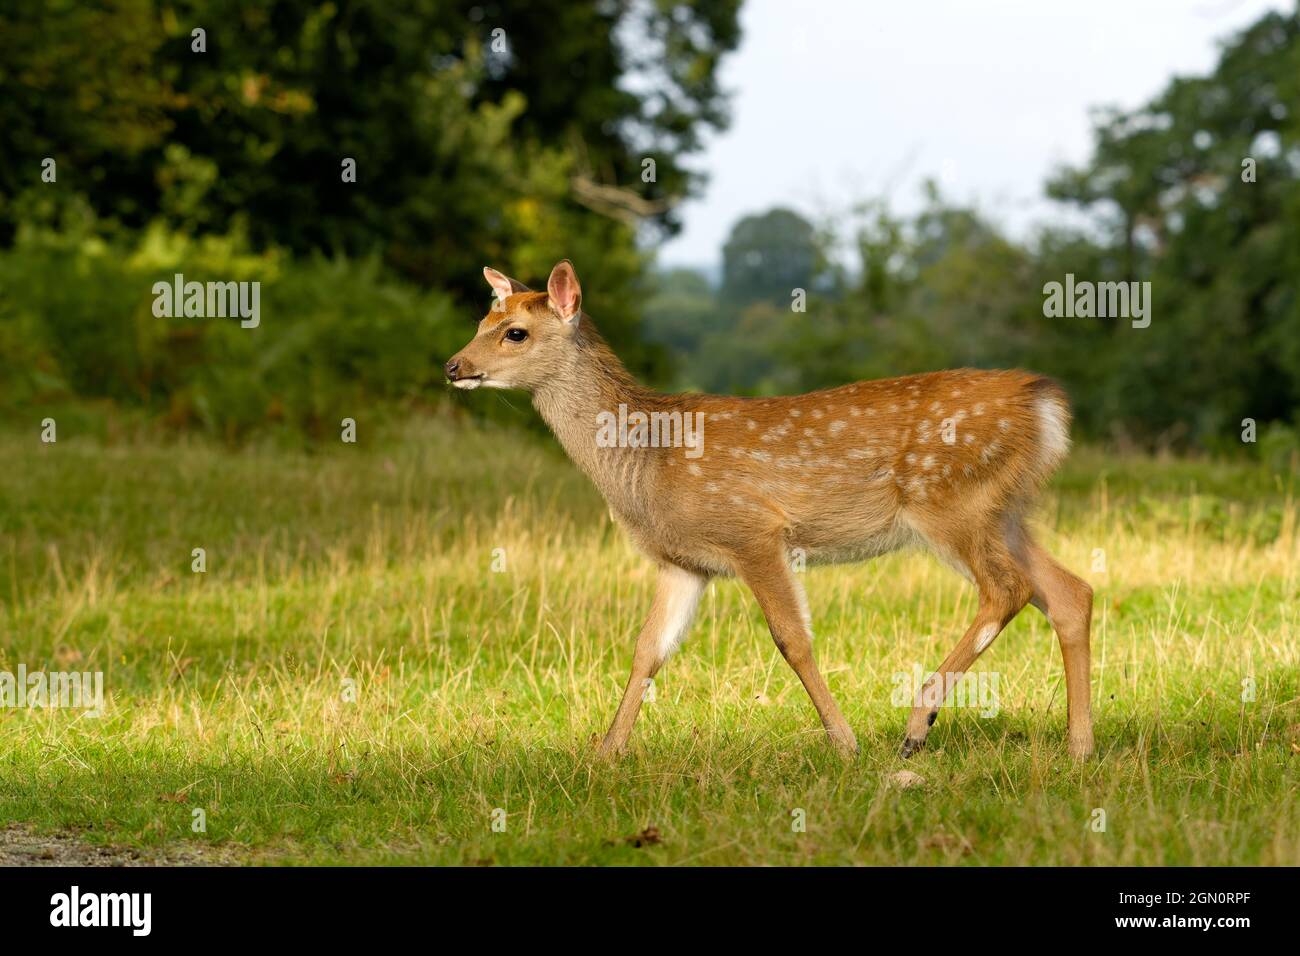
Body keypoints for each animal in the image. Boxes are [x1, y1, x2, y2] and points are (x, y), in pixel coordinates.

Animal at [444, 260, 1095, 761]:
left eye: (516, 332)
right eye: (481, 322)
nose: (453, 366)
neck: (646, 460)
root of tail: (1046, 405)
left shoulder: (753, 530)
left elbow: (792, 638)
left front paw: (845, 743)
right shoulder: (682, 562)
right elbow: (648, 650)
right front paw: (607, 752)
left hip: (951, 502)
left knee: (1007, 589)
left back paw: (917, 725)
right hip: (1003, 511)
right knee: (1071, 592)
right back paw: (1079, 747)